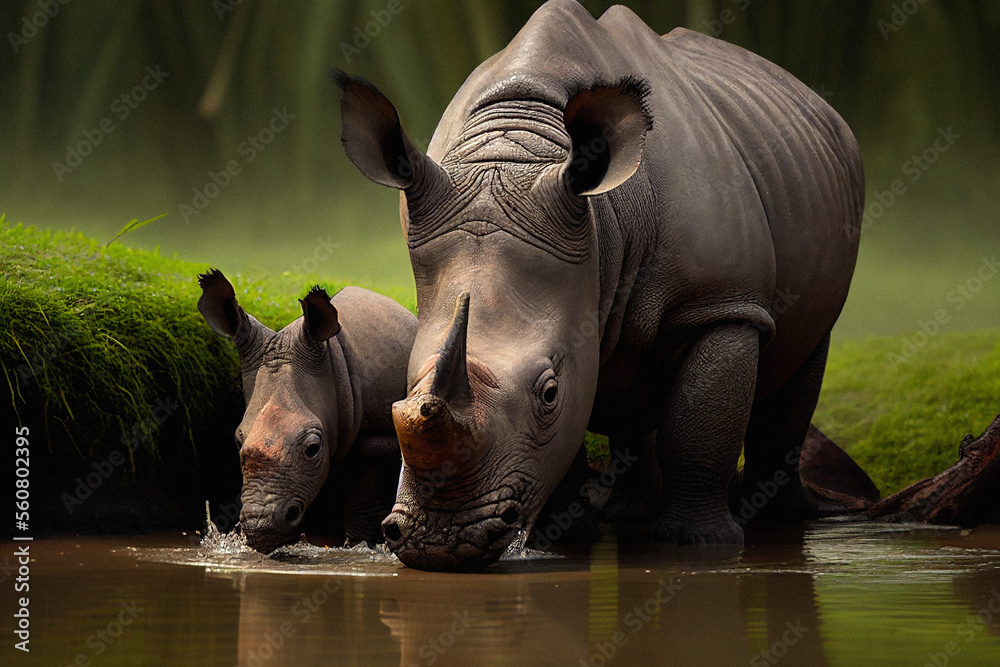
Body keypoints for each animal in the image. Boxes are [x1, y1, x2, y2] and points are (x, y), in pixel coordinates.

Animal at [336, 0, 863, 570]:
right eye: (404, 387)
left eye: (548, 392)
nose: (438, 544)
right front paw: (562, 539)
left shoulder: (721, 300)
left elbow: (699, 429)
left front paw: (700, 545)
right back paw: (629, 514)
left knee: (802, 359)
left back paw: (775, 520)